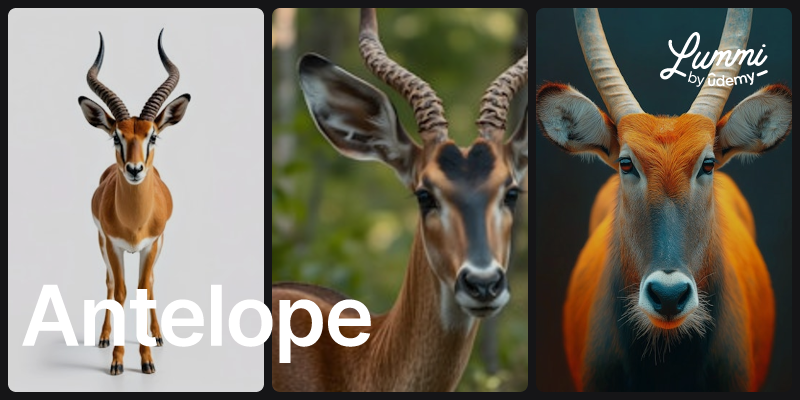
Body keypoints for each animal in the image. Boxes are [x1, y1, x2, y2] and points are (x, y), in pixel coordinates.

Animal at [78, 30, 191, 375]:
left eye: (152, 135)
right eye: (116, 136)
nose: (135, 169)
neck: (134, 224)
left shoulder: (151, 244)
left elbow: (142, 289)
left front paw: (147, 360)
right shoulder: (112, 244)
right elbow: (120, 291)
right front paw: (116, 361)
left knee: (150, 283)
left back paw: (158, 336)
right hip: (101, 243)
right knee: (110, 283)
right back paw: (103, 338)